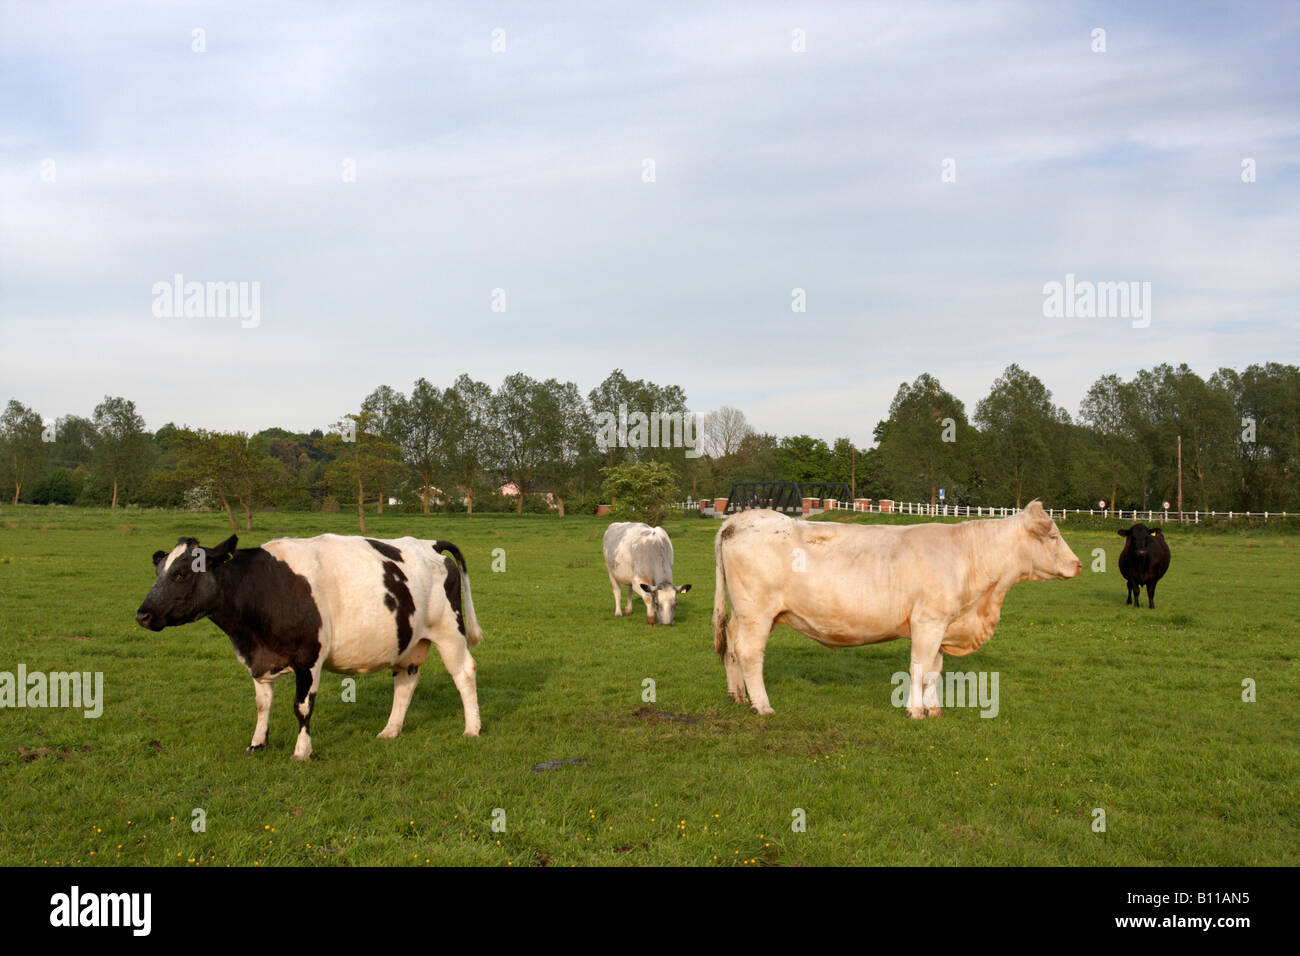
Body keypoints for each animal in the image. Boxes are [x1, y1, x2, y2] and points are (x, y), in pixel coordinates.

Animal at [135, 533, 482, 759]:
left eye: (181, 573)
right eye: (158, 571)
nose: (142, 615)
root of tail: (429, 544)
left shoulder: (309, 657)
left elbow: (302, 706)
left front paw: (302, 751)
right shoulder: (258, 659)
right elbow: (262, 704)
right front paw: (257, 744)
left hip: (449, 631)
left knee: (464, 674)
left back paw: (472, 728)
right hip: (407, 643)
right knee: (407, 682)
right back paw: (390, 731)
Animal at [711, 501, 1082, 719]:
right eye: (1053, 535)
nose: (1078, 564)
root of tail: (744, 518)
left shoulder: (943, 623)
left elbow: (934, 669)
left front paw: (934, 710)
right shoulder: (928, 621)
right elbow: (919, 667)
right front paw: (915, 711)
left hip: (747, 614)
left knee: (731, 646)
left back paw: (737, 696)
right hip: (757, 613)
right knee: (750, 653)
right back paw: (762, 705)